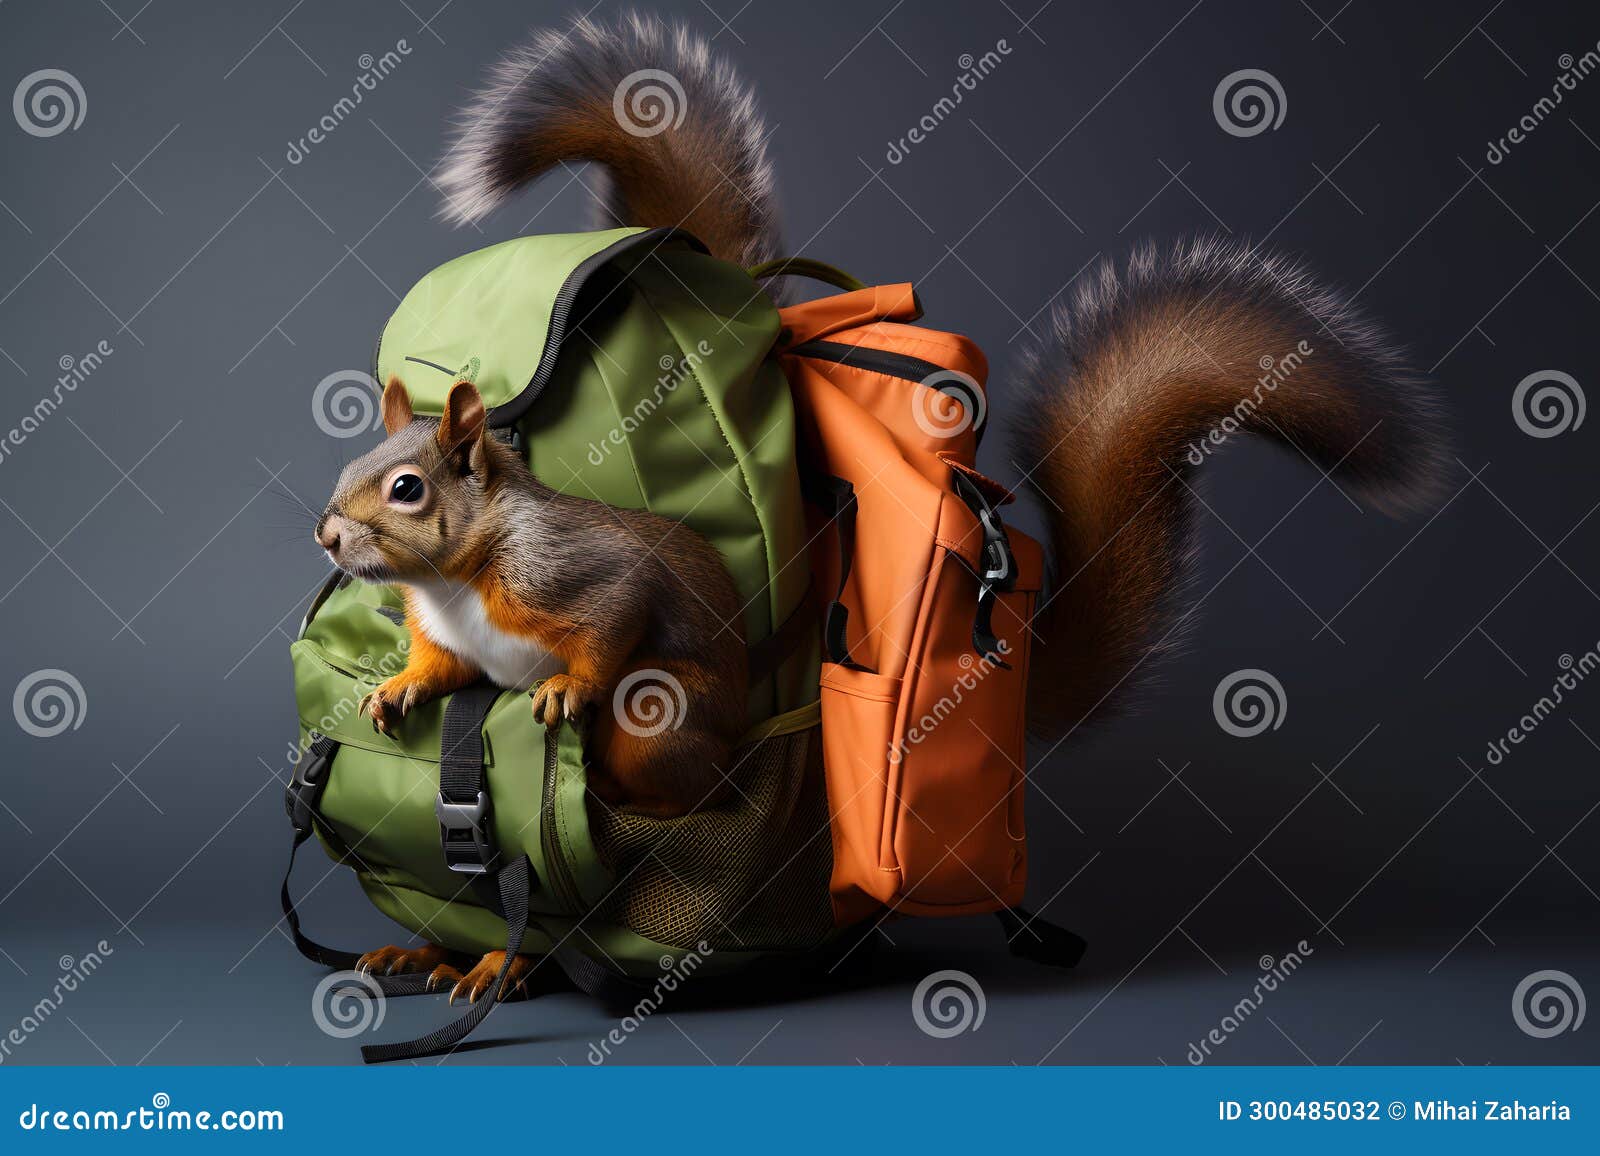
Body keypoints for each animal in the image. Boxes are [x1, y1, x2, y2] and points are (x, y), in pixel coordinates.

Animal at [334, 13, 1446, 1000]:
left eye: (408, 487)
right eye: (352, 462)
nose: (327, 534)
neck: (455, 578)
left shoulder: (570, 570)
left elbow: (608, 623)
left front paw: (565, 687)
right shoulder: (454, 633)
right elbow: (445, 669)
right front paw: (398, 688)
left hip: (671, 727)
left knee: (665, 797)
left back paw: (550, 898)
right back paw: (439, 953)